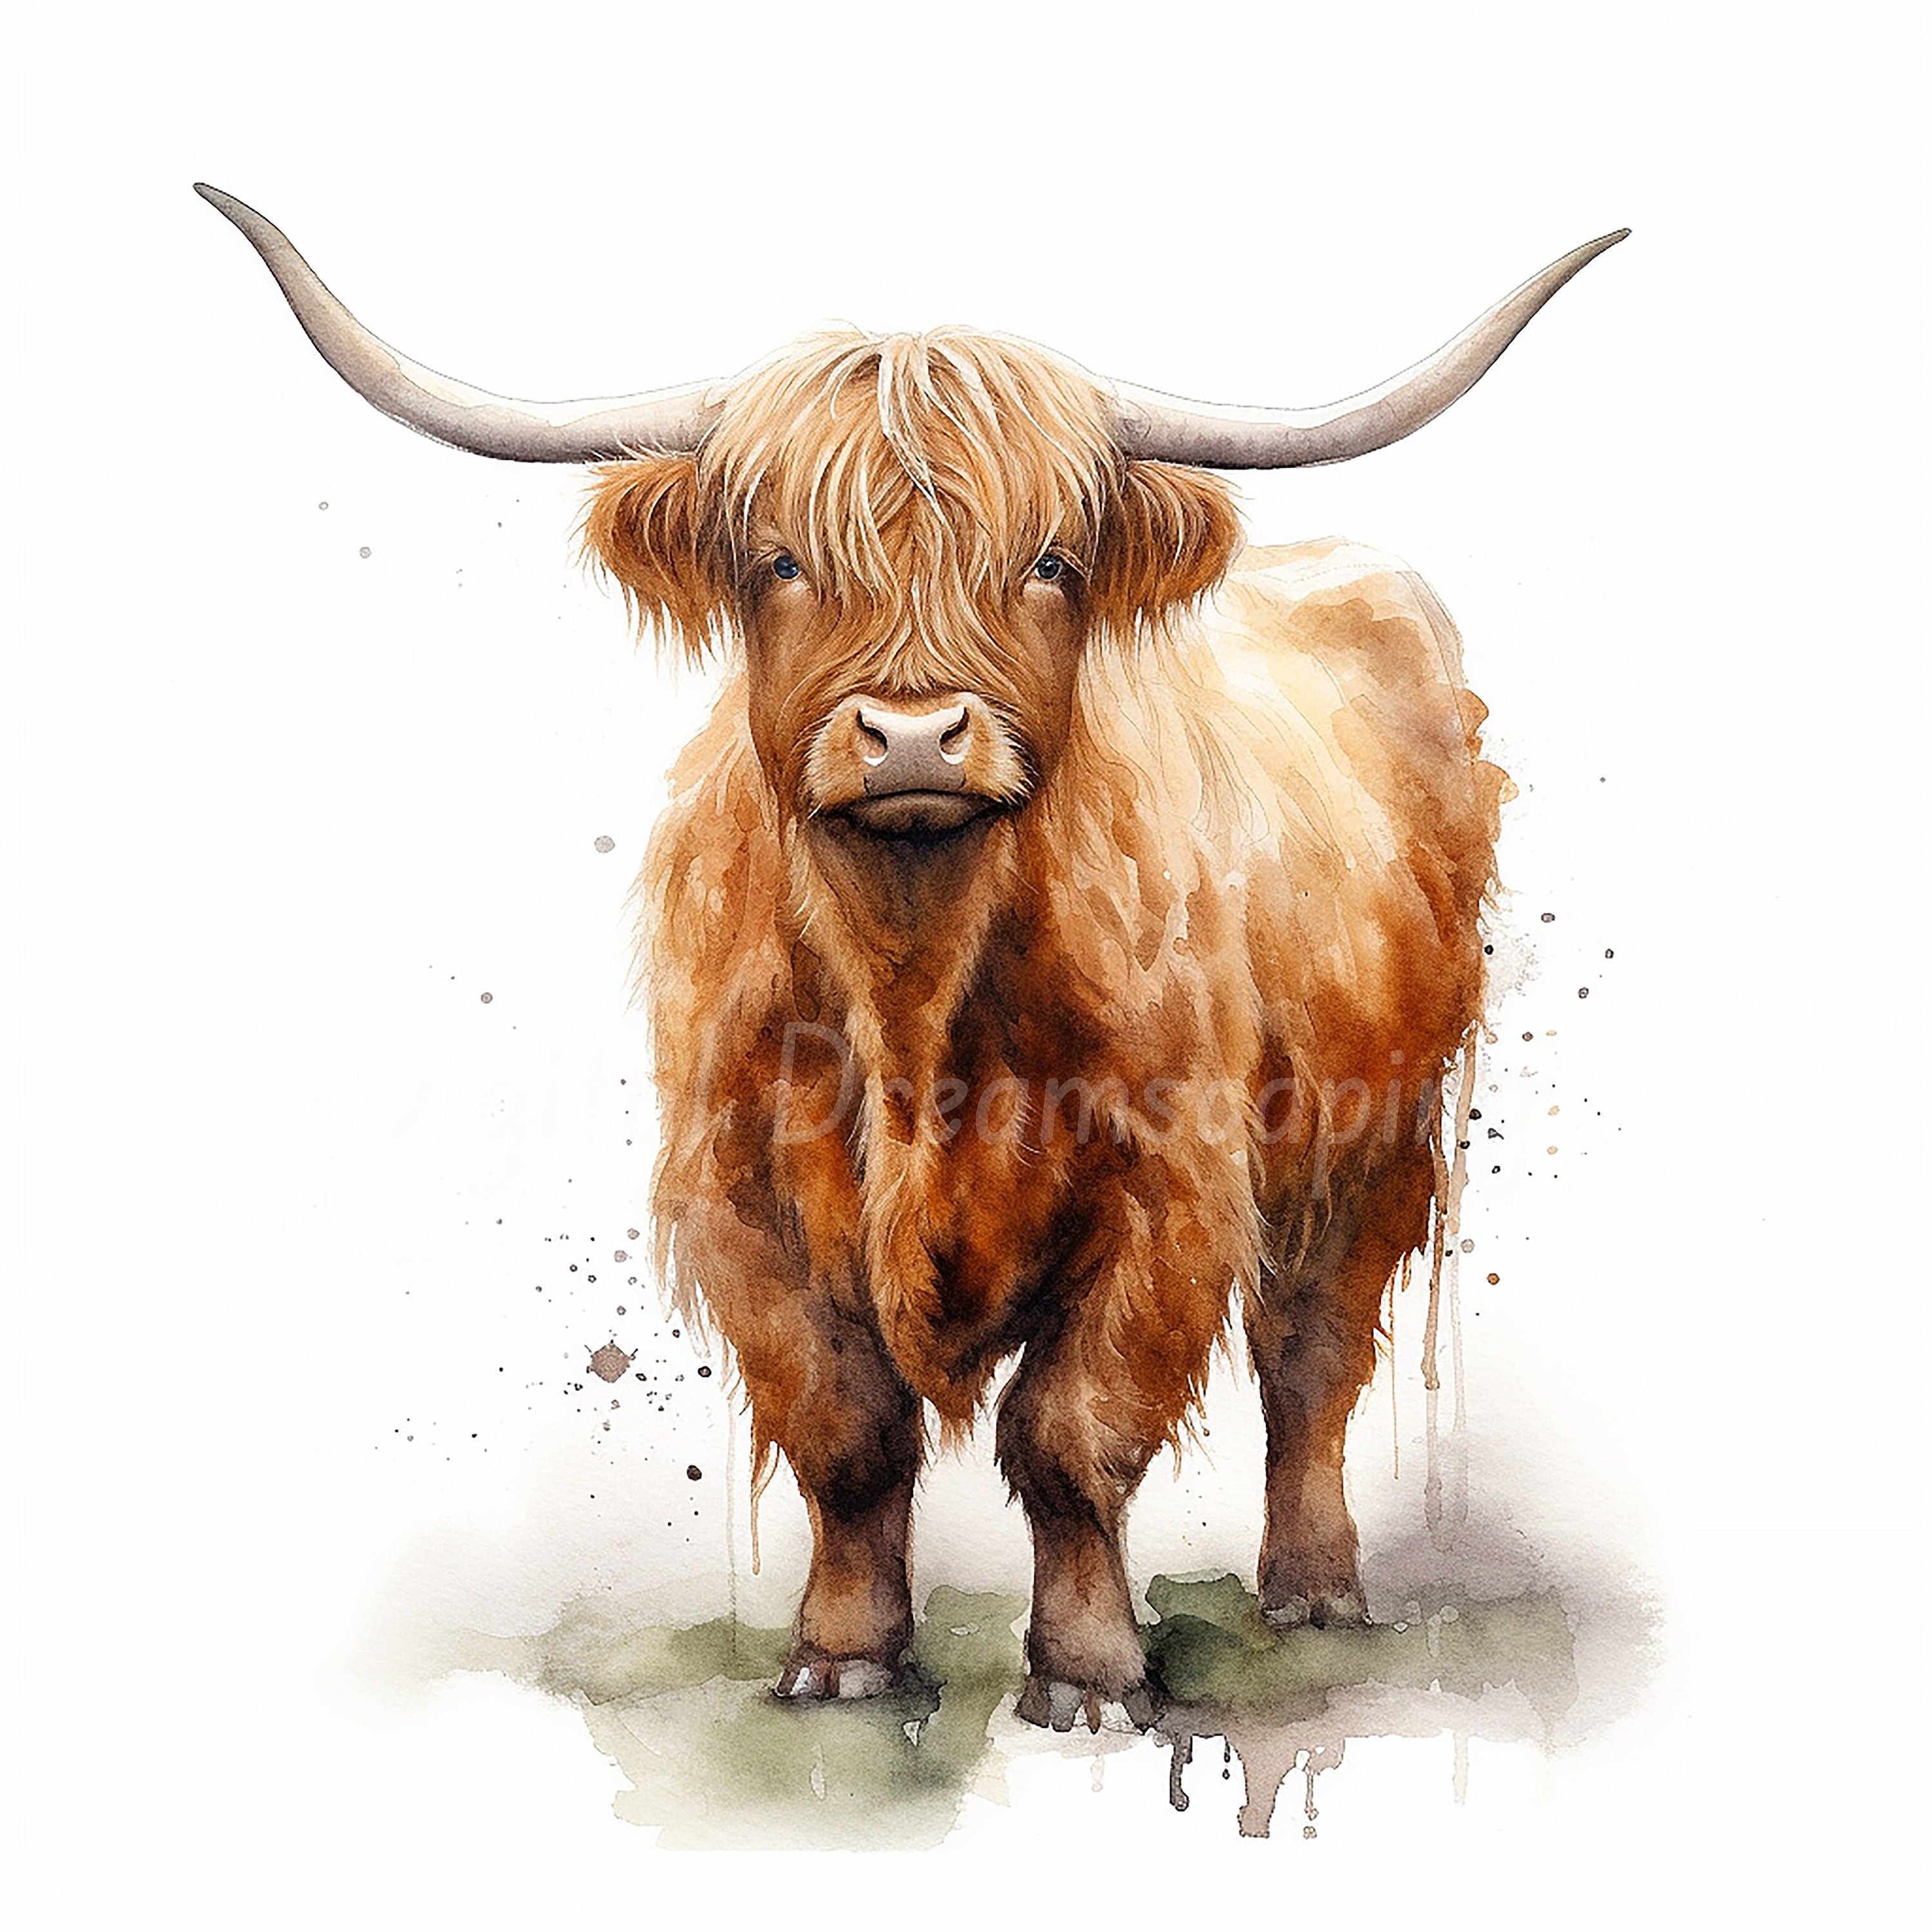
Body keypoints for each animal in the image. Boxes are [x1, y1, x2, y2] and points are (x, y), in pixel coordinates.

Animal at [198, 185, 1622, 1731]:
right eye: (780, 560)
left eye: (1050, 562)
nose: (915, 736)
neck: (911, 982)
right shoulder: (741, 1190)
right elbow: (848, 1431)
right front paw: (842, 1659)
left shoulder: (1167, 1185)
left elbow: (1072, 1433)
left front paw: (1088, 1676)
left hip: (1375, 1136)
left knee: (1311, 1356)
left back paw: (1314, 1590)